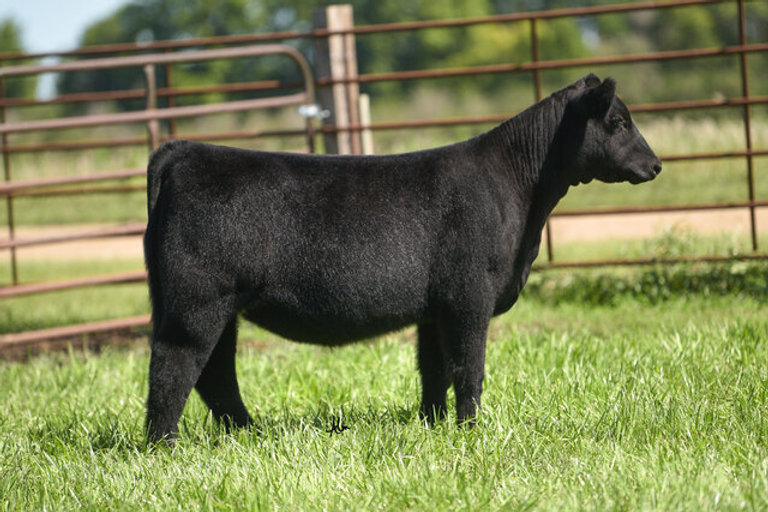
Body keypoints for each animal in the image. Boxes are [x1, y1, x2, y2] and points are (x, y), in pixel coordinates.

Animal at [143, 74, 661, 444]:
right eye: (618, 122)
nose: (656, 165)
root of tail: (184, 152)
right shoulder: (469, 298)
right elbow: (468, 369)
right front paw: (471, 433)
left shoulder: (435, 309)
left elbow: (433, 372)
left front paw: (434, 426)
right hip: (198, 302)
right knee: (175, 365)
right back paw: (163, 445)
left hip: (208, 304)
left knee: (214, 373)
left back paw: (250, 434)